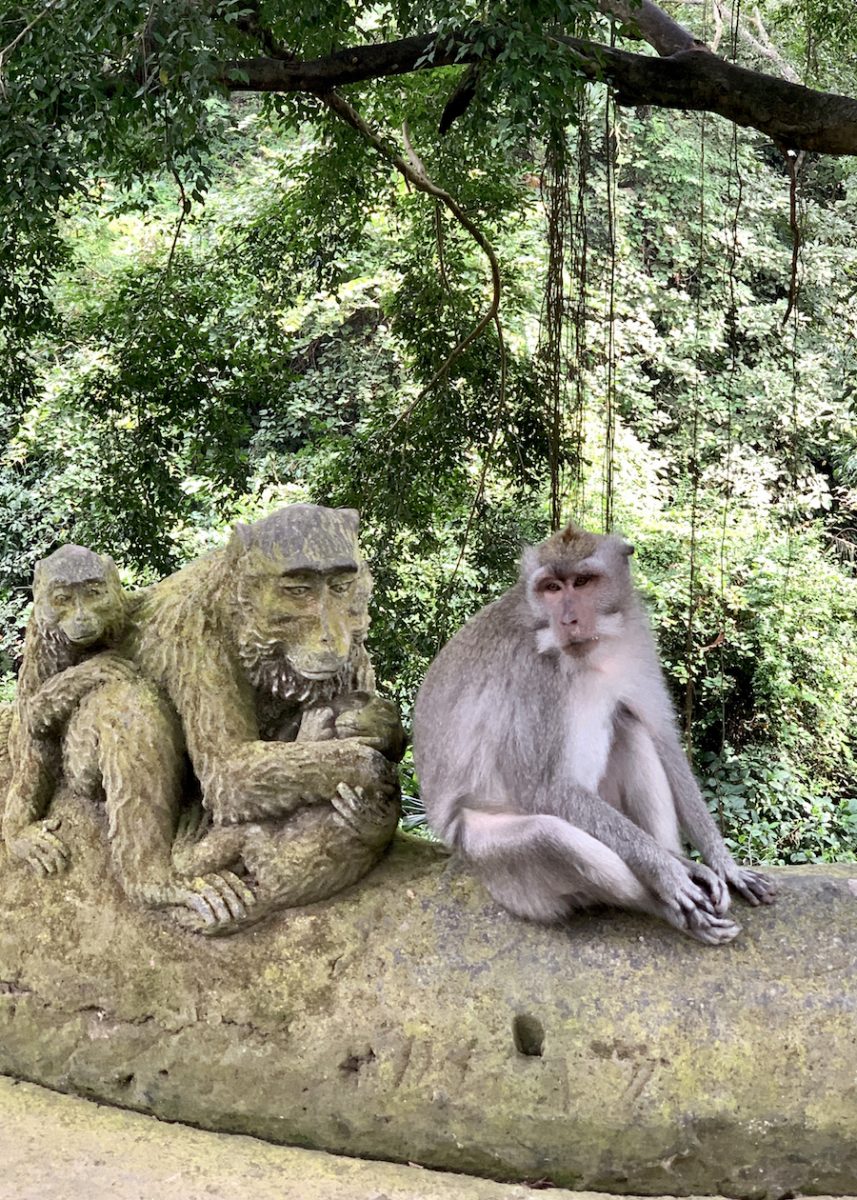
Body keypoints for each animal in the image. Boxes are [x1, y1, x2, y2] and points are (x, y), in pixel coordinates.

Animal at [412, 524, 777, 945]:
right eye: (551, 588)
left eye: (583, 582)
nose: (568, 620)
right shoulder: (530, 674)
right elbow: (545, 789)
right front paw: (668, 873)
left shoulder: (635, 640)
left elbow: (664, 739)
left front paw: (724, 865)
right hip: (488, 858)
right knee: (551, 836)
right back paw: (667, 902)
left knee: (630, 728)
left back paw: (682, 864)